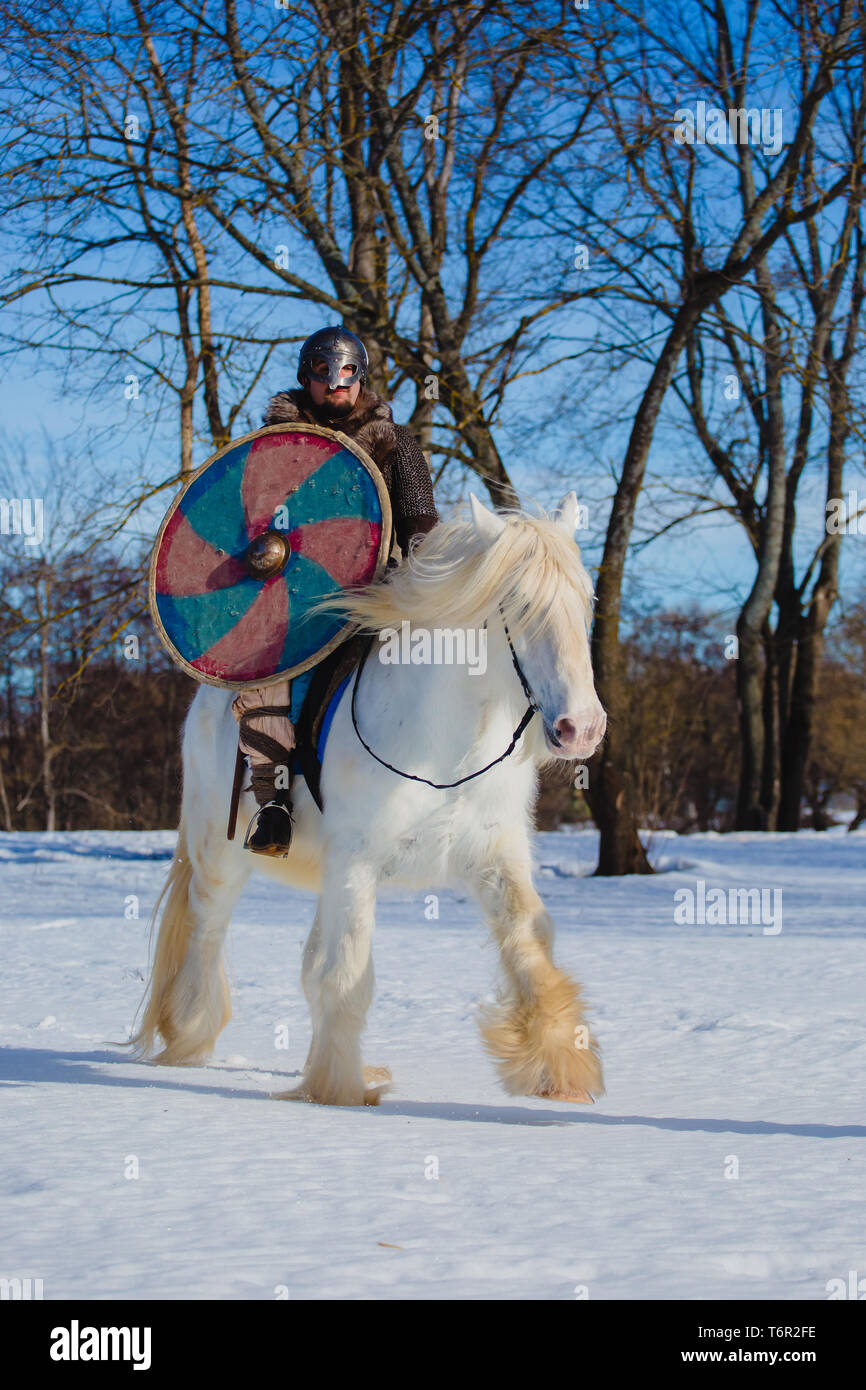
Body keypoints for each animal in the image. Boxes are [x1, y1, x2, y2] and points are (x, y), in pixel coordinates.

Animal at [129, 491, 608, 1106]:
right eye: (517, 602)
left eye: (585, 599)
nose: (582, 728)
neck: (446, 752)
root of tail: (209, 701)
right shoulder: (357, 864)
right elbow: (344, 974)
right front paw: (338, 1091)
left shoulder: (495, 861)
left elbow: (531, 946)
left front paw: (559, 1071)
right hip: (222, 853)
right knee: (206, 928)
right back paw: (188, 1033)